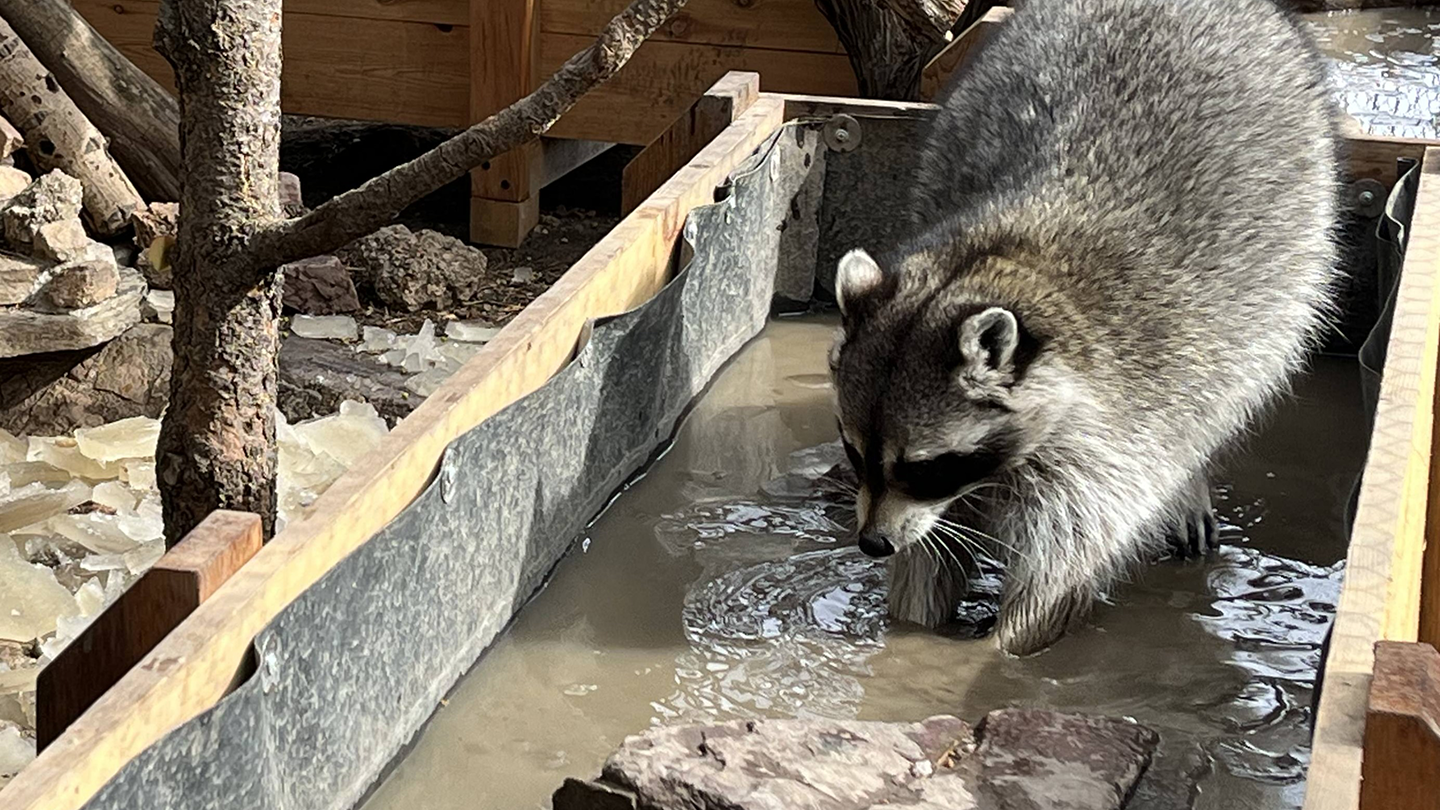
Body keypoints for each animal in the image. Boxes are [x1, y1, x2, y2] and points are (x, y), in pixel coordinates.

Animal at [828, 0, 1341, 655]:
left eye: (924, 466)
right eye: (853, 450)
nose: (871, 543)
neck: (1004, 263)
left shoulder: (1118, 436)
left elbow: (1062, 567)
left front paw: (998, 646)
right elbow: (931, 553)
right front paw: (910, 619)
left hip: (1295, 259)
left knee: (1231, 391)